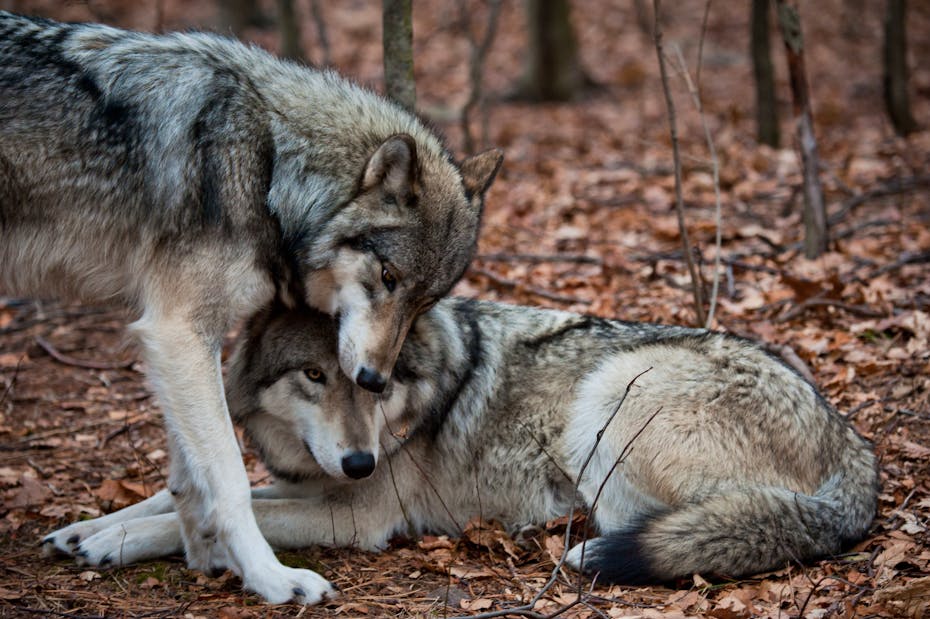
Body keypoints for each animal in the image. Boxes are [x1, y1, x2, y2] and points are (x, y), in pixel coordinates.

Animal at [1, 11, 502, 603]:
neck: (268, 165)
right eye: (387, 277)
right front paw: (270, 577)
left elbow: (186, 479)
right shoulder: (178, 329)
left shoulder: (183, 339)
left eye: (426, 301)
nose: (375, 380)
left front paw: (193, 554)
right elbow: (231, 479)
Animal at [43, 298, 879, 585]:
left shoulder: (355, 513)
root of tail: (855, 446)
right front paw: (85, 528)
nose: (360, 461)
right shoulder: (311, 479)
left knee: (648, 525)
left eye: (373, 379)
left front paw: (114, 544)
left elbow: (229, 509)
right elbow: (194, 493)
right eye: (314, 374)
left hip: (610, 393)